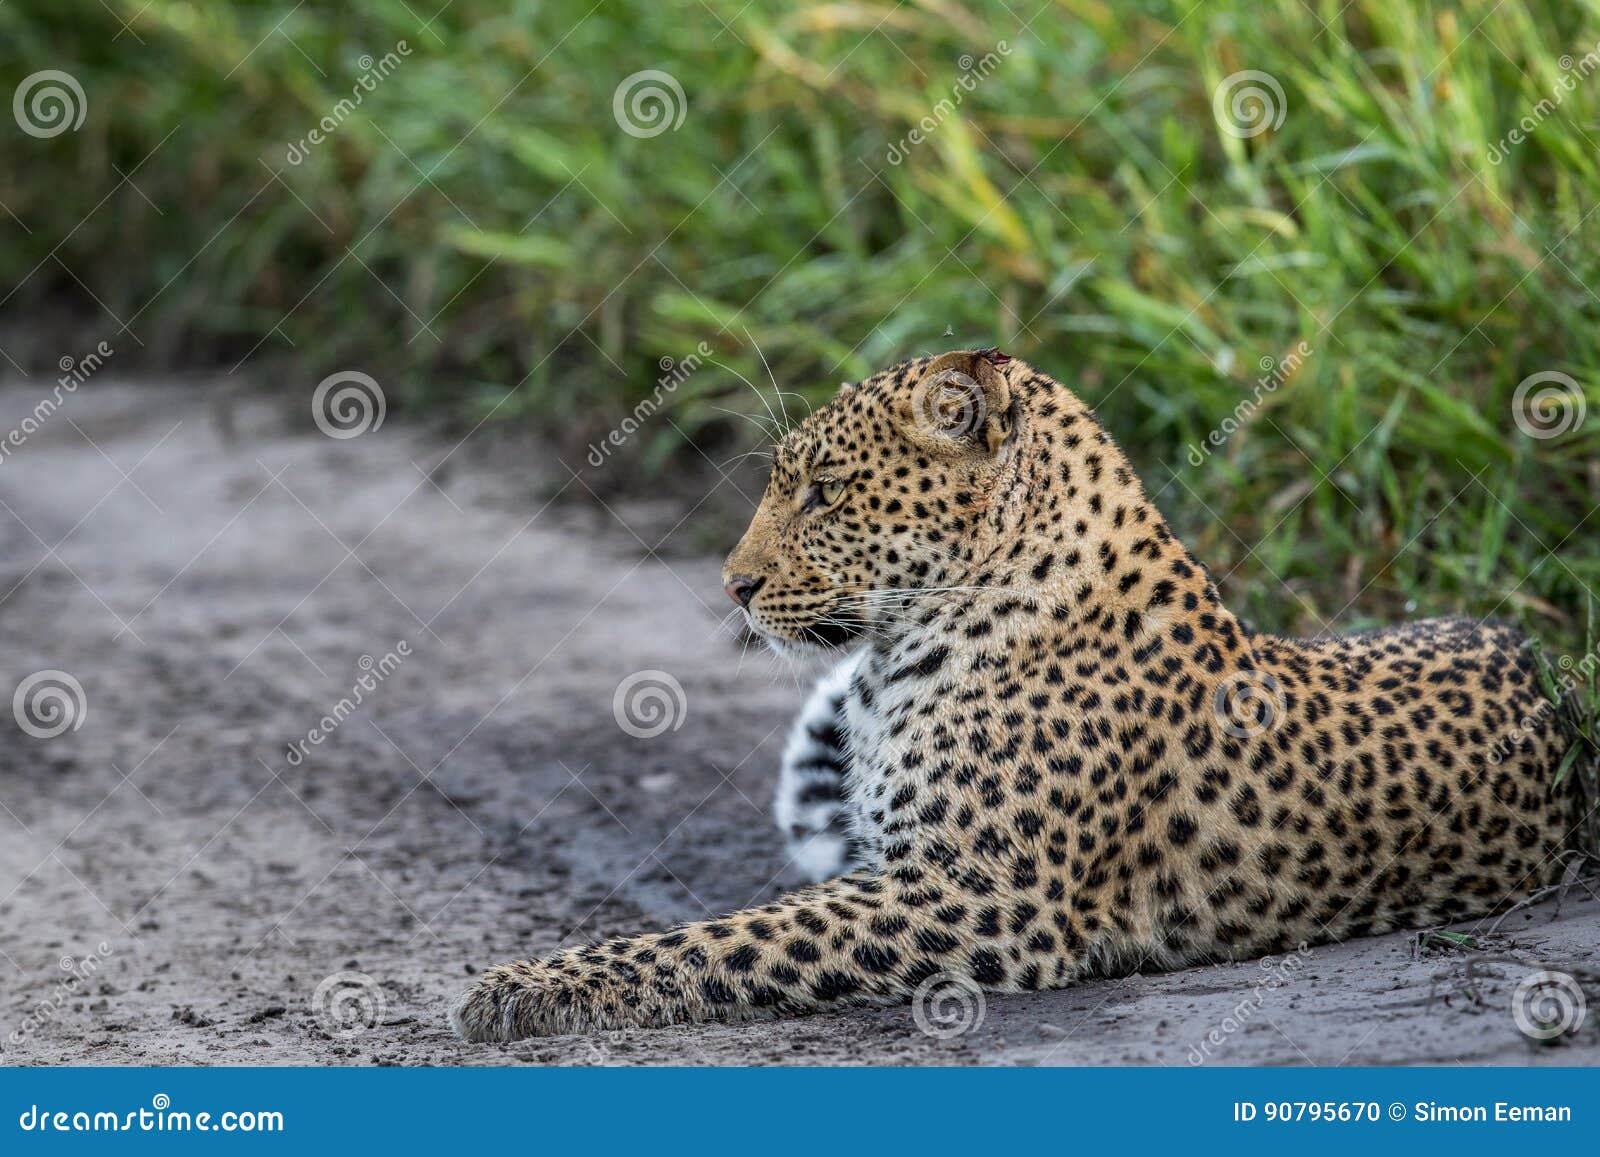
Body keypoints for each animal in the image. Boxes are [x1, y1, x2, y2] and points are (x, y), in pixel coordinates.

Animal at [450, 347, 1577, 1041]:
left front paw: (521, 986)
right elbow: (743, 923)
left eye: (823, 491)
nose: (732, 584)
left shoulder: (980, 893)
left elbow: (729, 935)